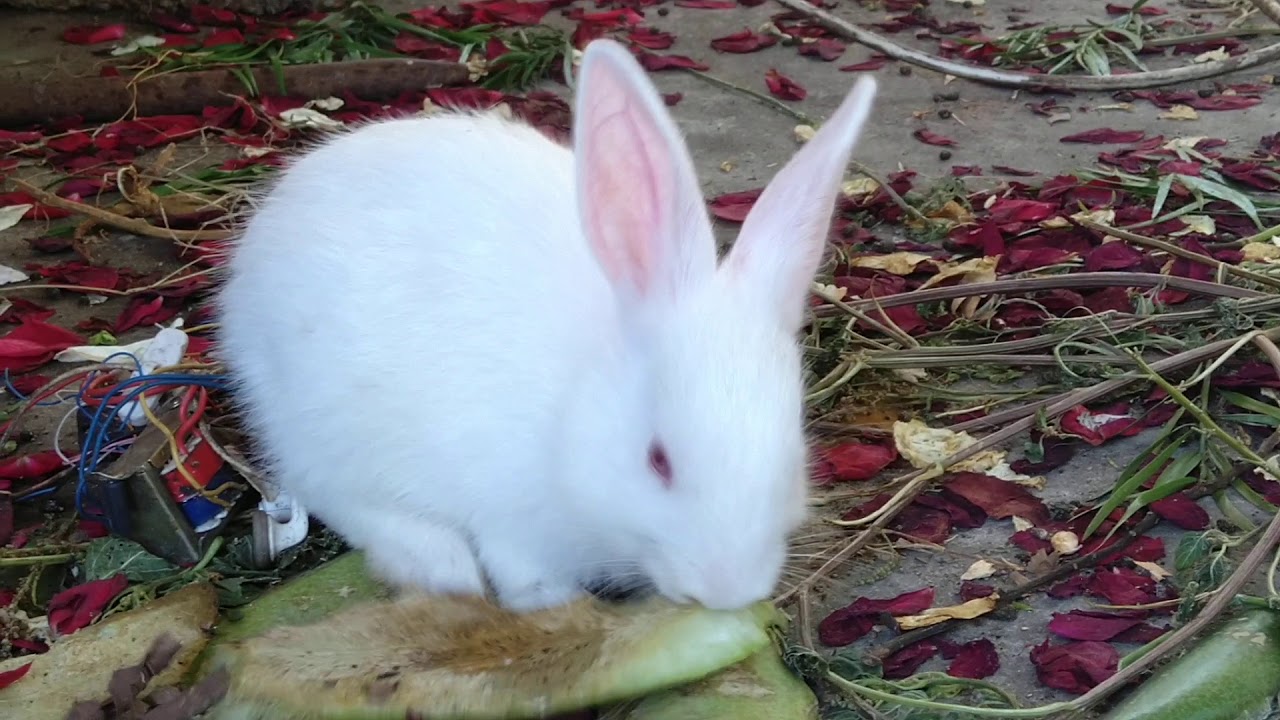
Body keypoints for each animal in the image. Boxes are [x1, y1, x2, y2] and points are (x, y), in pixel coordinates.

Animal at [216, 38, 878, 612]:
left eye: (791, 457)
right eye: (657, 461)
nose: (727, 592)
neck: (569, 414)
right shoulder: (512, 519)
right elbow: (523, 575)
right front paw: (552, 606)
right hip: (316, 420)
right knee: (338, 494)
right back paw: (439, 564)